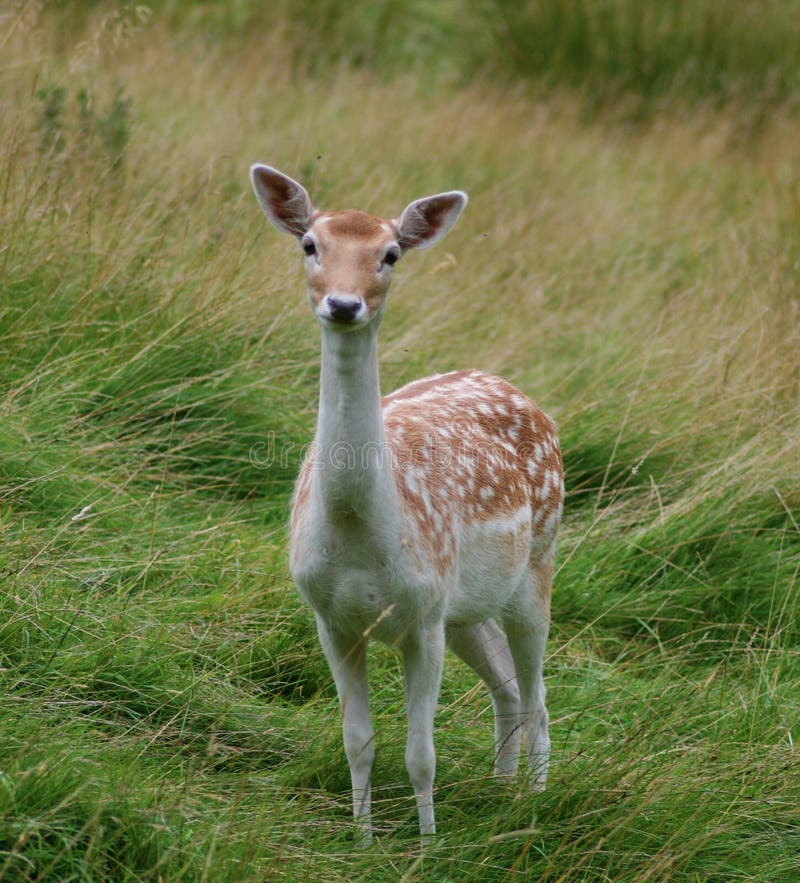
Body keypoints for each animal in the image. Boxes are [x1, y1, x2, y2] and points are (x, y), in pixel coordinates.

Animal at [249, 165, 563, 842]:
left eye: (390, 253)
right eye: (309, 244)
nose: (344, 304)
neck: (359, 537)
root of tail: (519, 391)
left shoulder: (422, 615)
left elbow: (422, 752)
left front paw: (427, 844)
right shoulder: (332, 618)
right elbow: (358, 741)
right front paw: (363, 839)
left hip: (536, 563)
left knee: (540, 695)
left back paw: (533, 802)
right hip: (465, 608)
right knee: (508, 686)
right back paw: (500, 790)